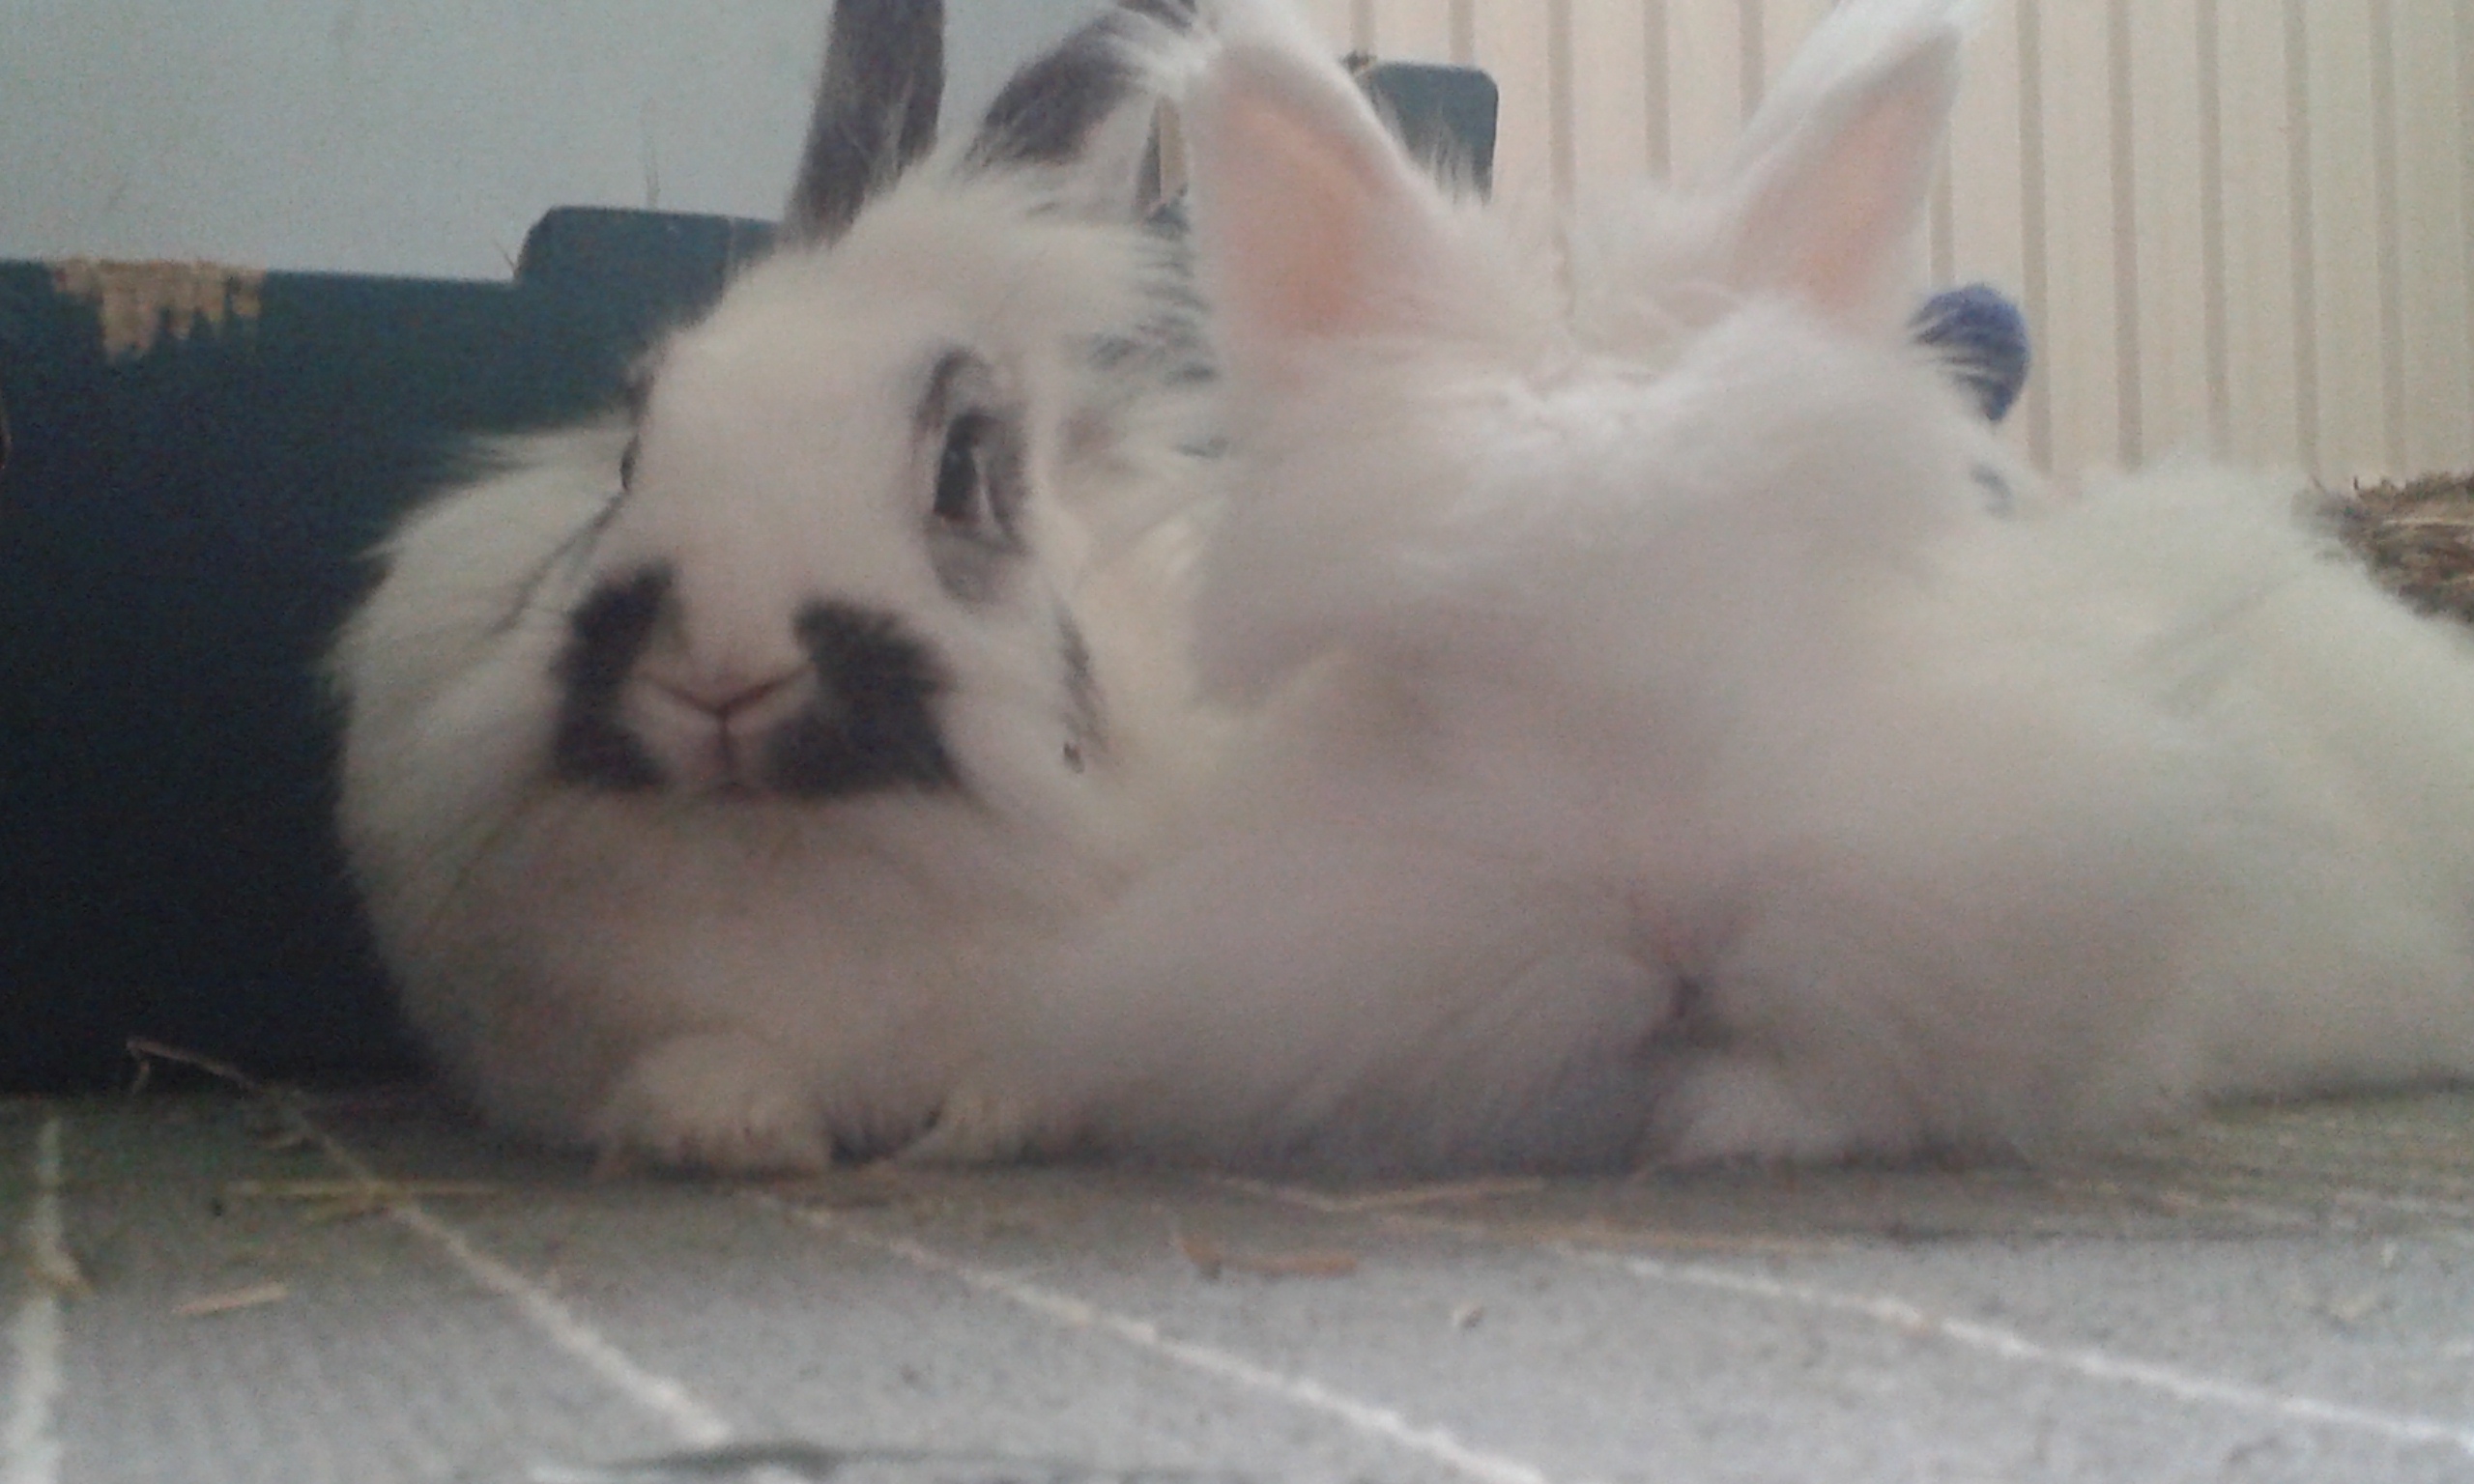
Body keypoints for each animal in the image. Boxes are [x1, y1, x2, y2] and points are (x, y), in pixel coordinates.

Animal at [329, 0, 1220, 1175]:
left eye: (961, 473)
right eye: (629, 456)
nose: (719, 665)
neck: (799, 855)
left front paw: (976, 1126)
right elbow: (698, 1063)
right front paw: (738, 1132)